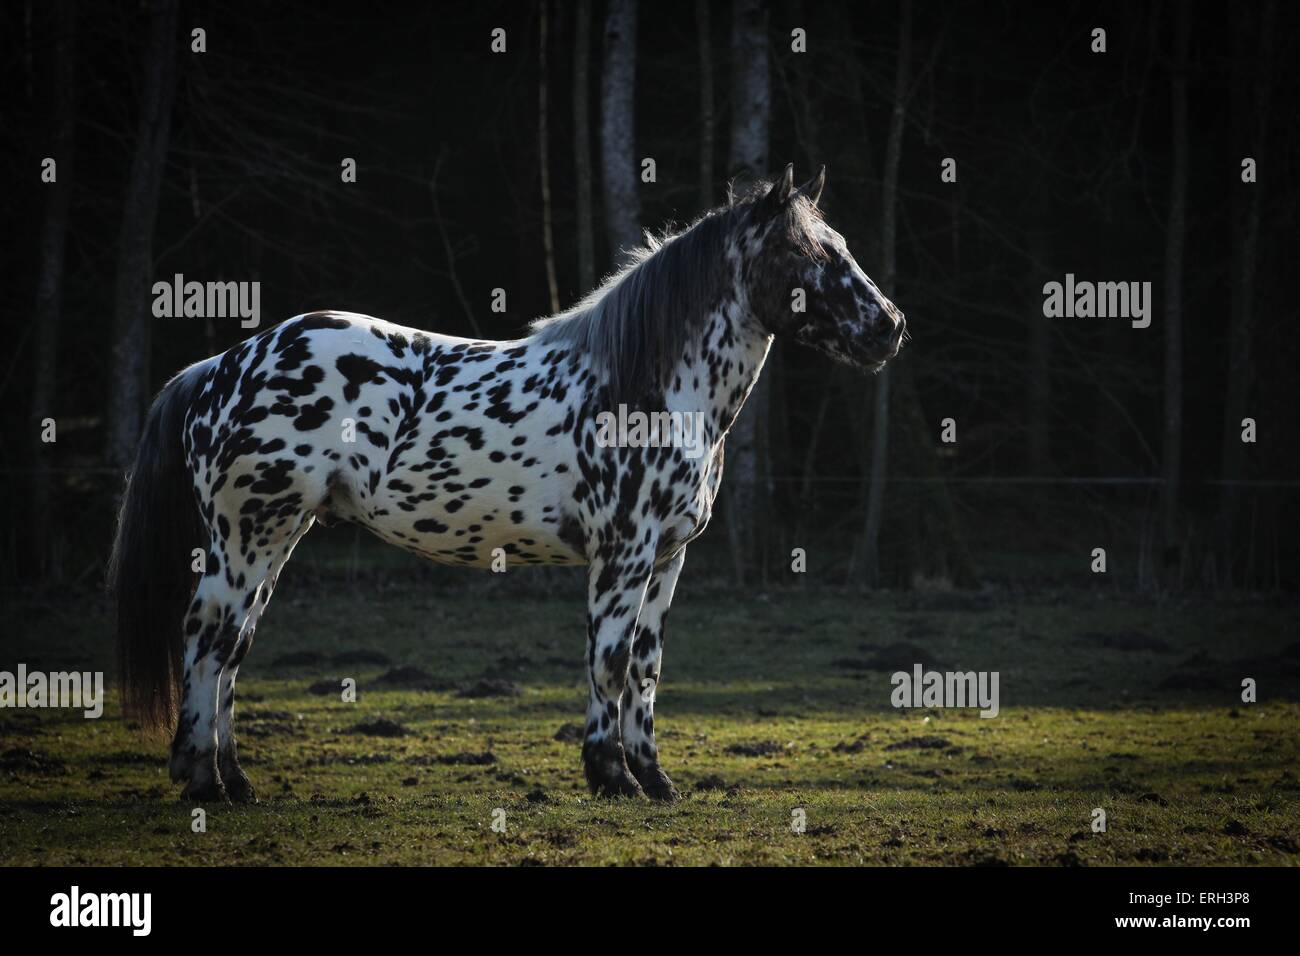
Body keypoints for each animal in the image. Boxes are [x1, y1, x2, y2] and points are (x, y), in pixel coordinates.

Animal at [108, 165, 907, 803]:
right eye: (805, 252)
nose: (890, 327)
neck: (648, 389)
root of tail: (220, 367)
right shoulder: (622, 554)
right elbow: (609, 660)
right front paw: (611, 778)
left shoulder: (667, 558)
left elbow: (646, 667)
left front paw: (653, 779)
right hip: (248, 538)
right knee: (206, 637)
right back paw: (201, 781)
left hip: (276, 540)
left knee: (232, 647)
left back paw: (235, 780)